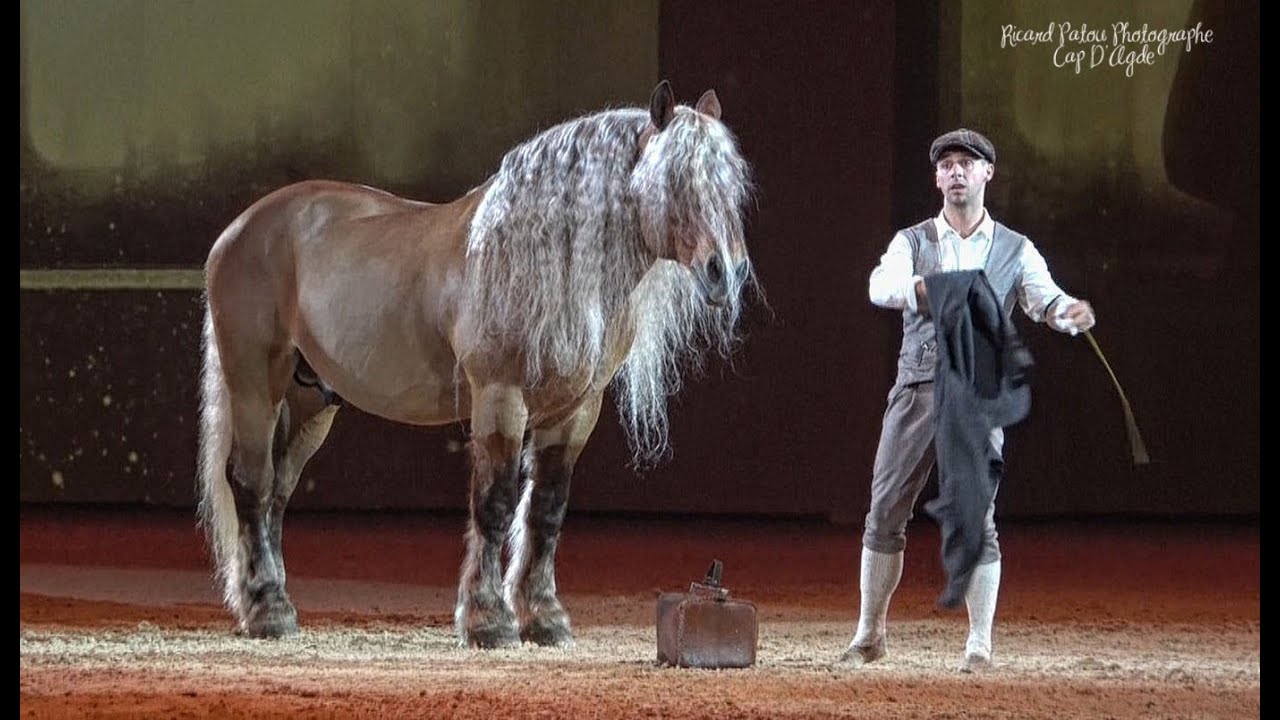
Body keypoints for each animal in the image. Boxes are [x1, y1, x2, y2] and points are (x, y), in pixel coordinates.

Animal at [196, 80, 758, 649]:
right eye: (677, 179)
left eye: (731, 182)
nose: (726, 272)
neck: (541, 263)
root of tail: (239, 229)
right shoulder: (500, 397)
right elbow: (496, 503)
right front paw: (489, 619)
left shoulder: (575, 411)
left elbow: (546, 509)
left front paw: (545, 618)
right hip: (255, 386)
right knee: (251, 483)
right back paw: (266, 610)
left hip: (311, 400)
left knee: (278, 492)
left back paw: (273, 603)